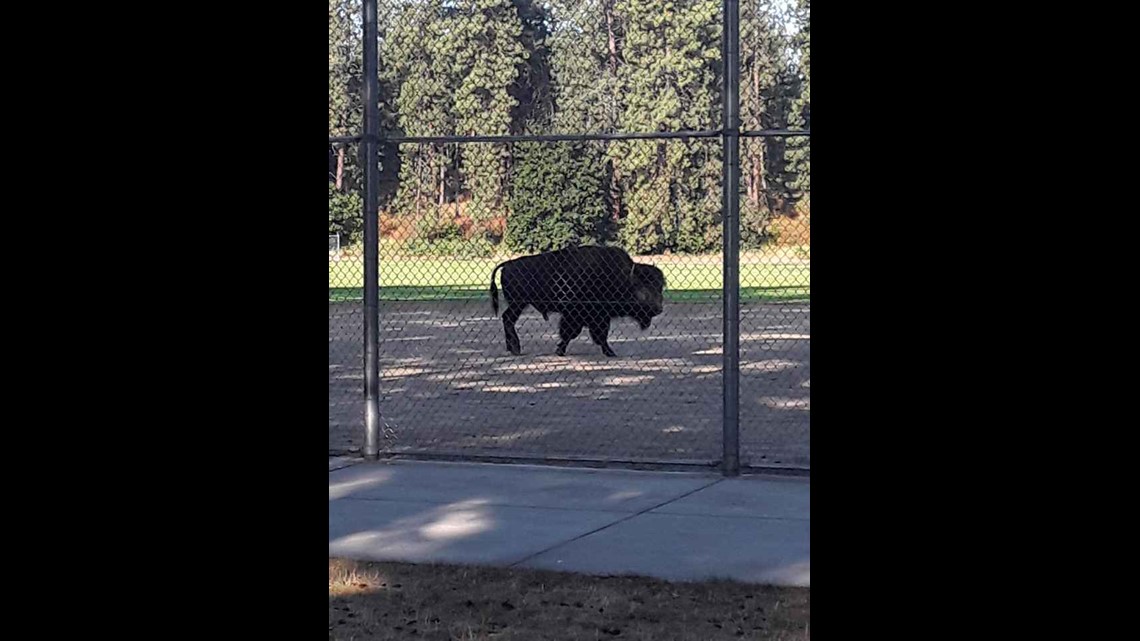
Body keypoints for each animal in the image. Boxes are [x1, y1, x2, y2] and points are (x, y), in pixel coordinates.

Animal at [489, 245, 666, 357]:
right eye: (643, 288)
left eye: (660, 287)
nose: (658, 309)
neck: (622, 277)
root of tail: (508, 265)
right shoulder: (578, 314)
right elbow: (574, 333)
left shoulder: (599, 316)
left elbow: (596, 335)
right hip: (518, 303)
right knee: (508, 319)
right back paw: (515, 348)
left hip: (518, 304)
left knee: (507, 319)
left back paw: (512, 348)